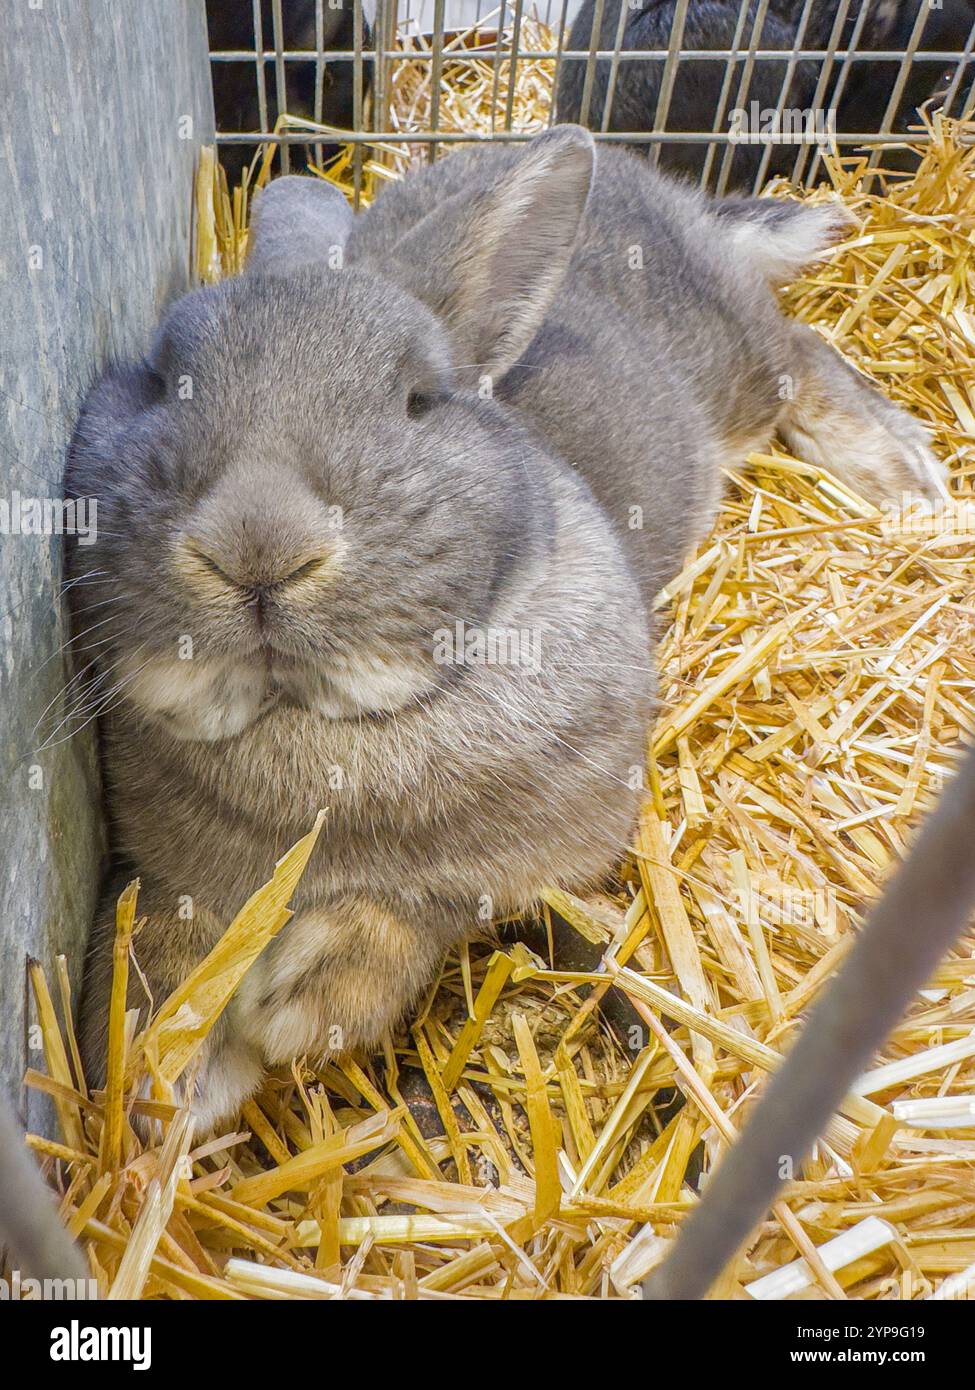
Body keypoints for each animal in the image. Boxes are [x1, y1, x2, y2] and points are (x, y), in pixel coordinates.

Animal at [66, 132, 943, 1135]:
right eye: (161, 383)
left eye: (416, 399)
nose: (258, 545)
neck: (319, 729)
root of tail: (670, 197)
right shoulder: (155, 867)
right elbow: (151, 922)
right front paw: (159, 1068)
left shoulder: (523, 863)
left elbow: (423, 911)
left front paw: (301, 1003)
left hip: (736, 368)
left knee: (800, 351)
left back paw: (901, 475)